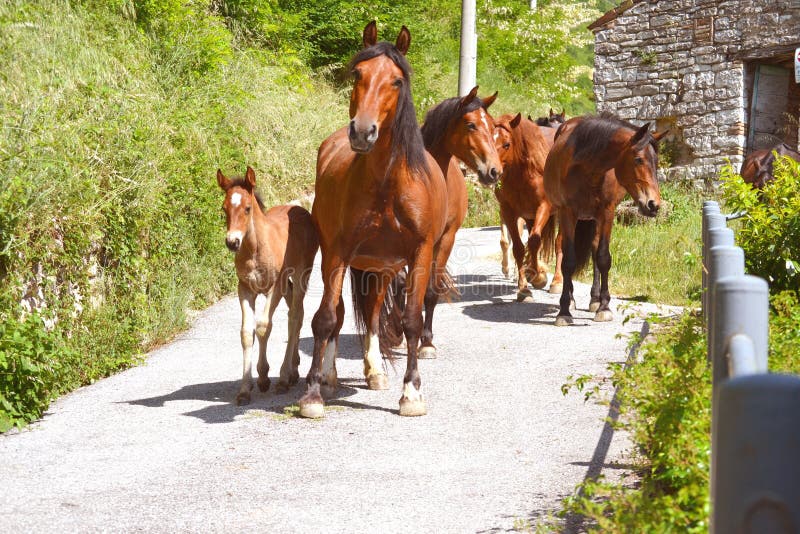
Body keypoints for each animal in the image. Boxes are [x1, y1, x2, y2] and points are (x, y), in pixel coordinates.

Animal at [217, 166, 319, 405]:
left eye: (247, 208)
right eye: (224, 208)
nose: (232, 242)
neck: (255, 249)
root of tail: (301, 210)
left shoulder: (274, 288)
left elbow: (263, 326)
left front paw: (264, 377)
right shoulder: (245, 289)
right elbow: (246, 332)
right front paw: (245, 389)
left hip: (301, 275)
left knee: (295, 316)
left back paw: (285, 376)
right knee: (296, 313)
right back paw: (294, 369)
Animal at [302, 22, 448, 418]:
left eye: (396, 81)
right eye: (358, 74)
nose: (363, 131)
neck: (386, 184)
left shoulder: (420, 253)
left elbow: (411, 320)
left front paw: (411, 393)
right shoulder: (337, 252)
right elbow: (326, 318)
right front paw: (312, 394)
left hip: (381, 268)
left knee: (374, 313)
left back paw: (375, 372)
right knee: (342, 313)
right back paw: (330, 375)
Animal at [381, 86, 503, 359]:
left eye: (493, 127)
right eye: (470, 124)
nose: (494, 171)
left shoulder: (446, 239)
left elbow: (430, 291)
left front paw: (426, 342)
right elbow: (401, 284)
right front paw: (397, 331)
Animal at [493, 113, 559, 302]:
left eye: (506, 144)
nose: (493, 171)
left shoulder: (543, 207)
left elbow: (535, 241)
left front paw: (539, 277)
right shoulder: (509, 212)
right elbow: (519, 248)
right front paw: (523, 288)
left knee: (558, 243)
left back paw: (556, 282)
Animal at [543, 114, 665, 326]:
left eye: (656, 162)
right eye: (638, 159)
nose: (653, 205)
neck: (586, 167)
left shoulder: (607, 213)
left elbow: (603, 258)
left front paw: (604, 306)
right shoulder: (567, 213)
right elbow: (569, 261)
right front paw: (564, 310)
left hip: (594, 219)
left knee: (593, 250)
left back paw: (594, 299)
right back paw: (572, 298)